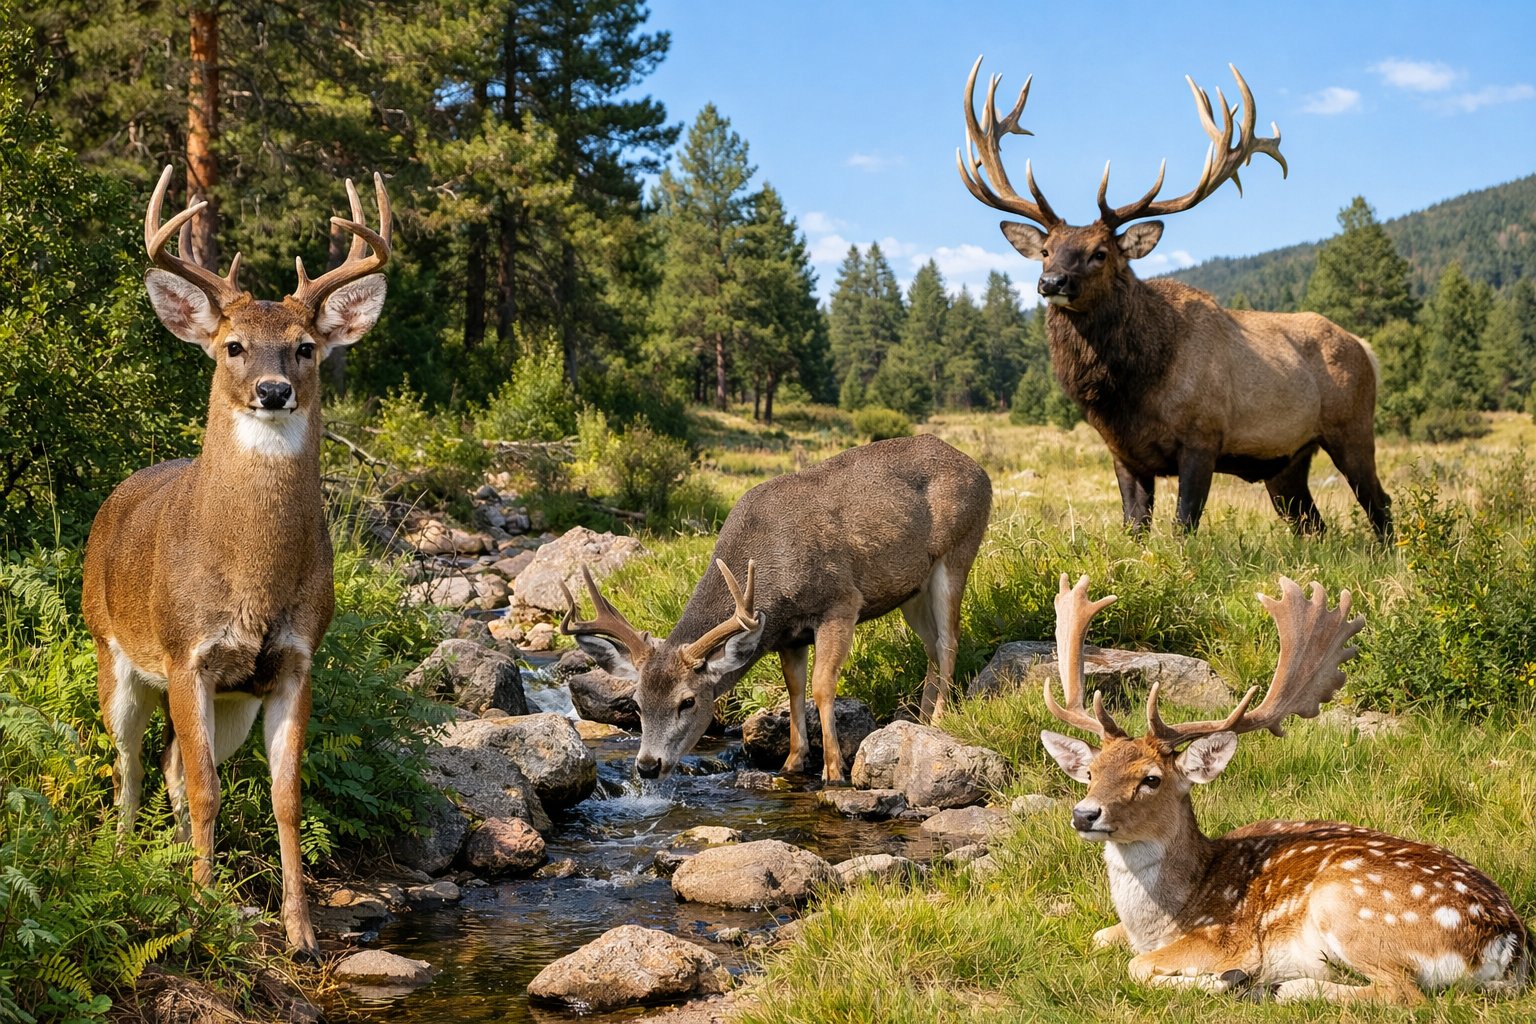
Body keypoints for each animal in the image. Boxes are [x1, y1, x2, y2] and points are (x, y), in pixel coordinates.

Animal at [81, 165, 392, 957]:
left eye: (306, 346)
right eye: (232, 346)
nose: (273, 390)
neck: (251, 577)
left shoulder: (293, 662)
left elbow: (285, 796)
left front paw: (301, 931)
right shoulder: (186, 654)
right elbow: (204, 791)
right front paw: (198, 913)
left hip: (231, 705)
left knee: (168, 764)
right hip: (112, 652)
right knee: (130, 765)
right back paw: (128, 860)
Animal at [559, 434, 991, 784]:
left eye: (688, 701)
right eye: (636, 703)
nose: (648, 766)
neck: (771, 569)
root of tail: (979, 469)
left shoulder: (840, 601)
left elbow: (822, 685)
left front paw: (834, 770)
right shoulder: (787, 633)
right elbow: (794, 688)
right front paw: (792, 763)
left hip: (959, 550)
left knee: (950, 640)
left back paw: (938, 719)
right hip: (911, 589)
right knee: (932, 645)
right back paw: (919, 718)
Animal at [959, 58, 1392, 539]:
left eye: (1100, 252)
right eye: (1047, 250)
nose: (1051, 282)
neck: (1131, 392)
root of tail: (1367, 350)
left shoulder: (1202, 437)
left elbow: (1184, 526)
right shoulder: (1123, 453)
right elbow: (1134, 528)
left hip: (1352, 429)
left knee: (1380, 504)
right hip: (1286, 463)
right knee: (1314, 524)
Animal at [1039, 574, 1530, 1003]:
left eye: (1151, 778)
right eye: (1091, 772)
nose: (1085, 814)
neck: (1166, 918)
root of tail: (1506, 945)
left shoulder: (1225, 938)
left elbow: (1137, 966)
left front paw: (1228, 978)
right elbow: (1100, 937)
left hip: (1348, 907)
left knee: (1403, 994)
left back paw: (1281, 988)